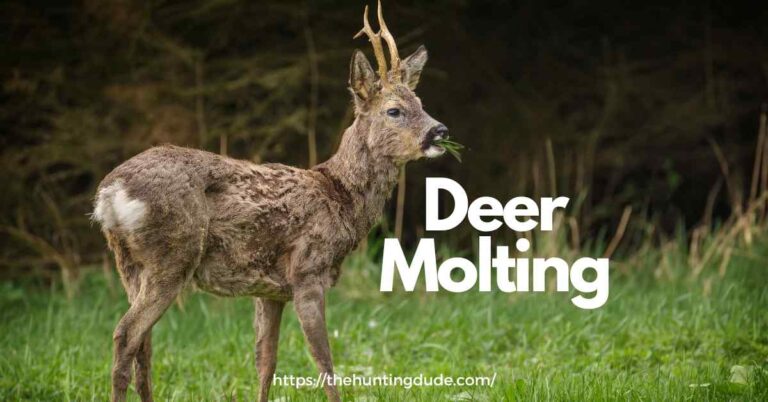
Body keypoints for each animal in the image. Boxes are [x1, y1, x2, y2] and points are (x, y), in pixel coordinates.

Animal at [92, 2, 448, 401]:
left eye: (420, 102)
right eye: (394, 110)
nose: (440, 131)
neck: (339, 195)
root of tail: (109, 193)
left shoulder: (270, 291)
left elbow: (266, 363)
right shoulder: (308, 271)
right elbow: (324, 363)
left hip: (130, 265)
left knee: (144, 343)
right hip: (172, 255)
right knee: (126, 334)